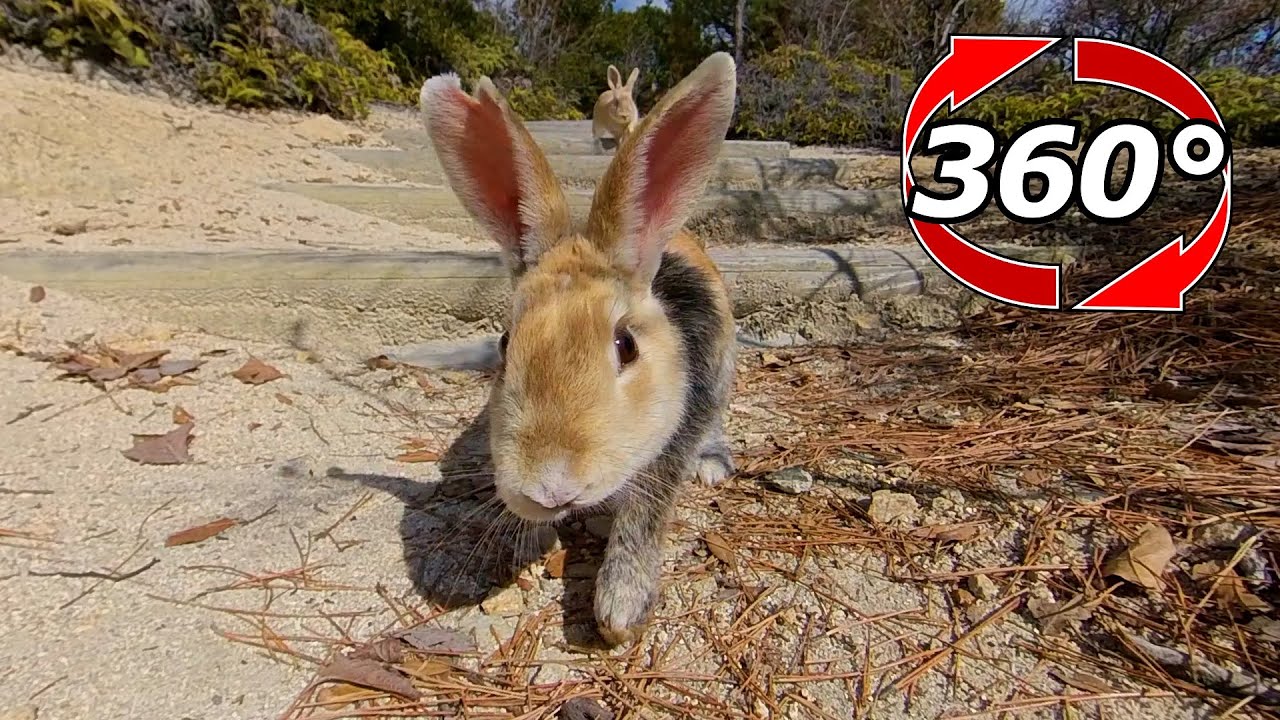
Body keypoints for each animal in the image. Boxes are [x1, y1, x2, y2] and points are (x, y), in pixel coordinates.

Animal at [419, 52, 739, 648]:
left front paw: (621, 609)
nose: (550, 486)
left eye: (626, 346)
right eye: (505, 344)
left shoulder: (678, 433)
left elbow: (647, 510)